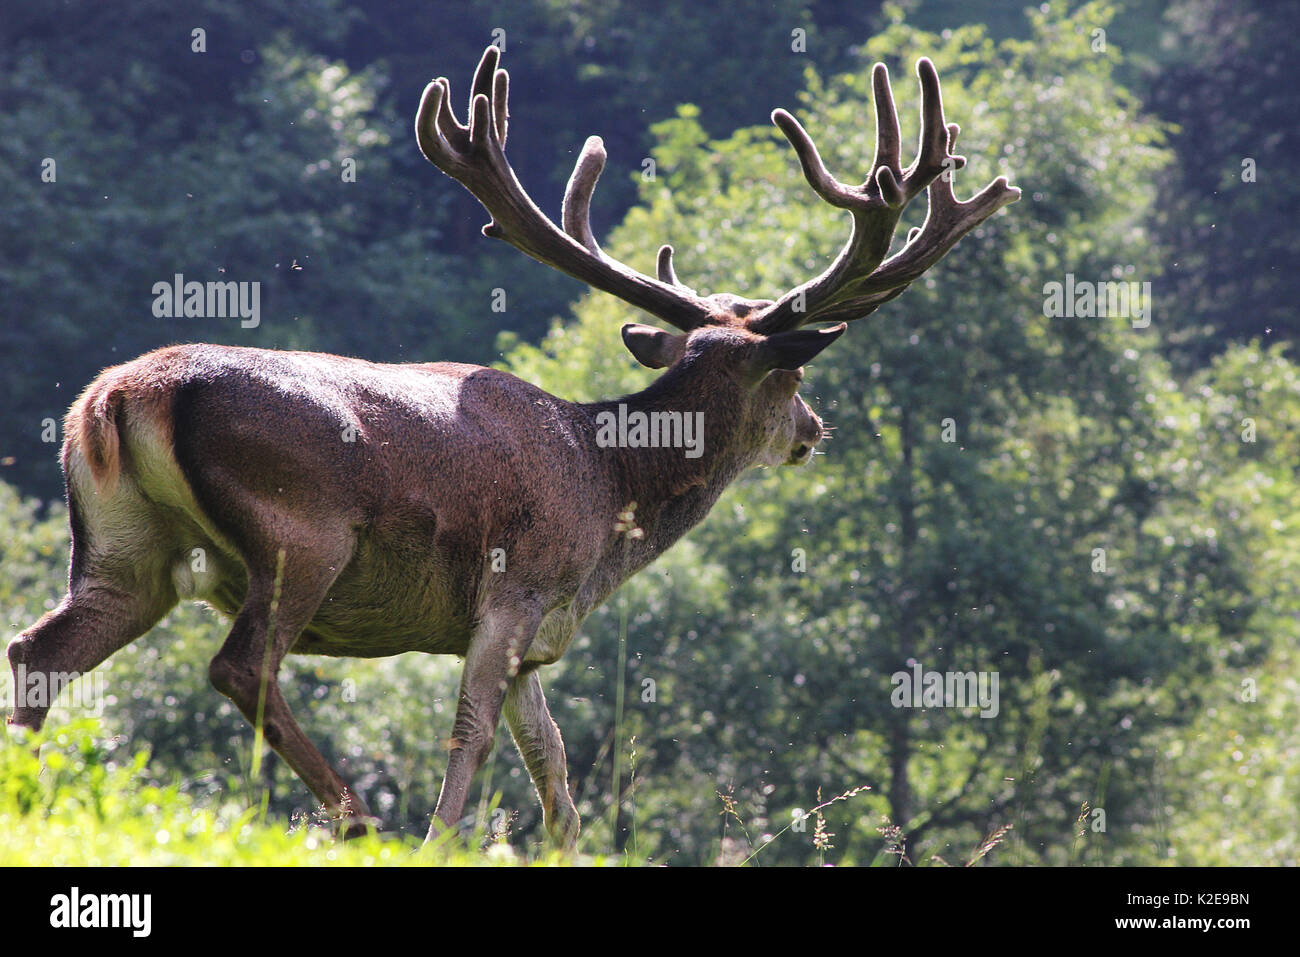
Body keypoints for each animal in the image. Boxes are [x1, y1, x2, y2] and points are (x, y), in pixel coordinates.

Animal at [6, 45, 1018, 850]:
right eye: (793, 382)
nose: (813, 432)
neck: (610, 492)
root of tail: (118, 398)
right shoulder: (515, 587)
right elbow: (474, 735)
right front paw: (436, 839)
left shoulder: (540, 635)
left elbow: (555, 768)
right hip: (302, 534)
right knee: (240, 666)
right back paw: (358, 818)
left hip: (124, 550)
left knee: (37, 649)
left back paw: (31, 795)